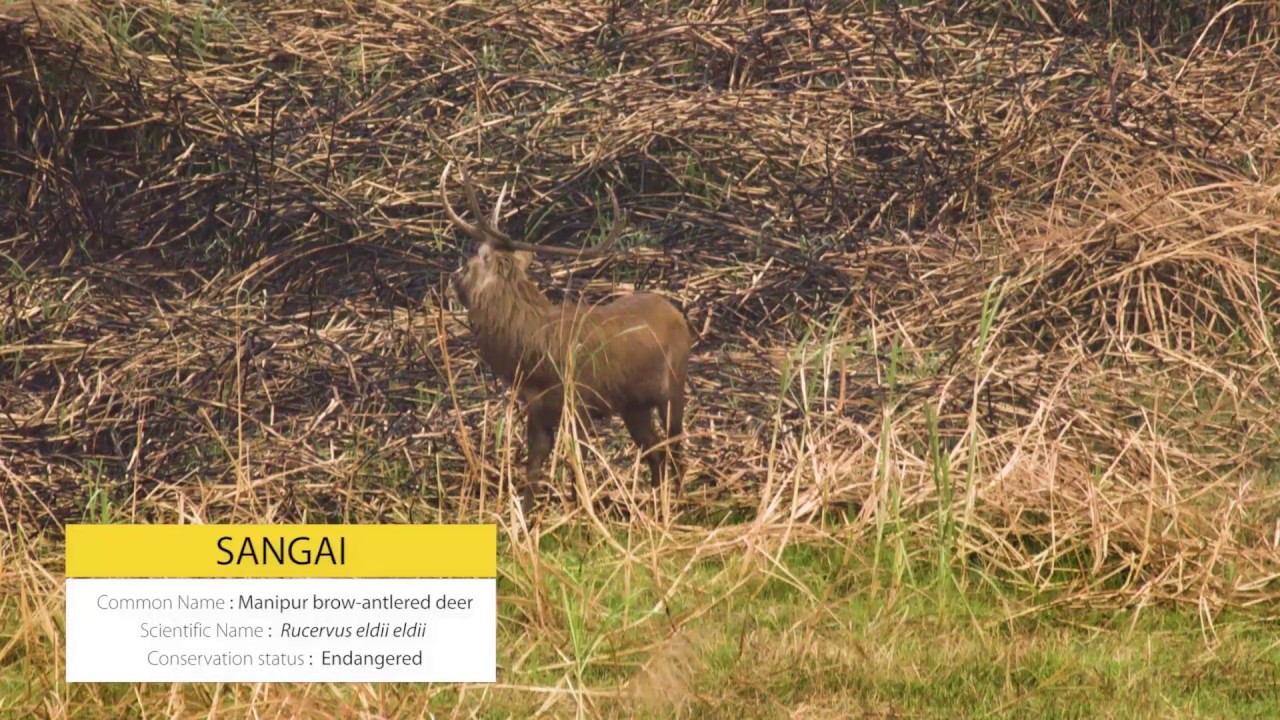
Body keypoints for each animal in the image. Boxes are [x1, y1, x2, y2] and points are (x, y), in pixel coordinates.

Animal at [440, 160, 691, 514]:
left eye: (474, 259)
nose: (452, 283)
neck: (528, 358)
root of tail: (677, 313)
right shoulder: (537, 411)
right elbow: (532, 475)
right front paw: (528, 520)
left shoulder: (580, 404)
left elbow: (576, 471)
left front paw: (581, 517)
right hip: (634, 407)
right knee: (655, 453)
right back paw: (655, 509)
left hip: (673, 386)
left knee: (676, 451)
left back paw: (677, 506)